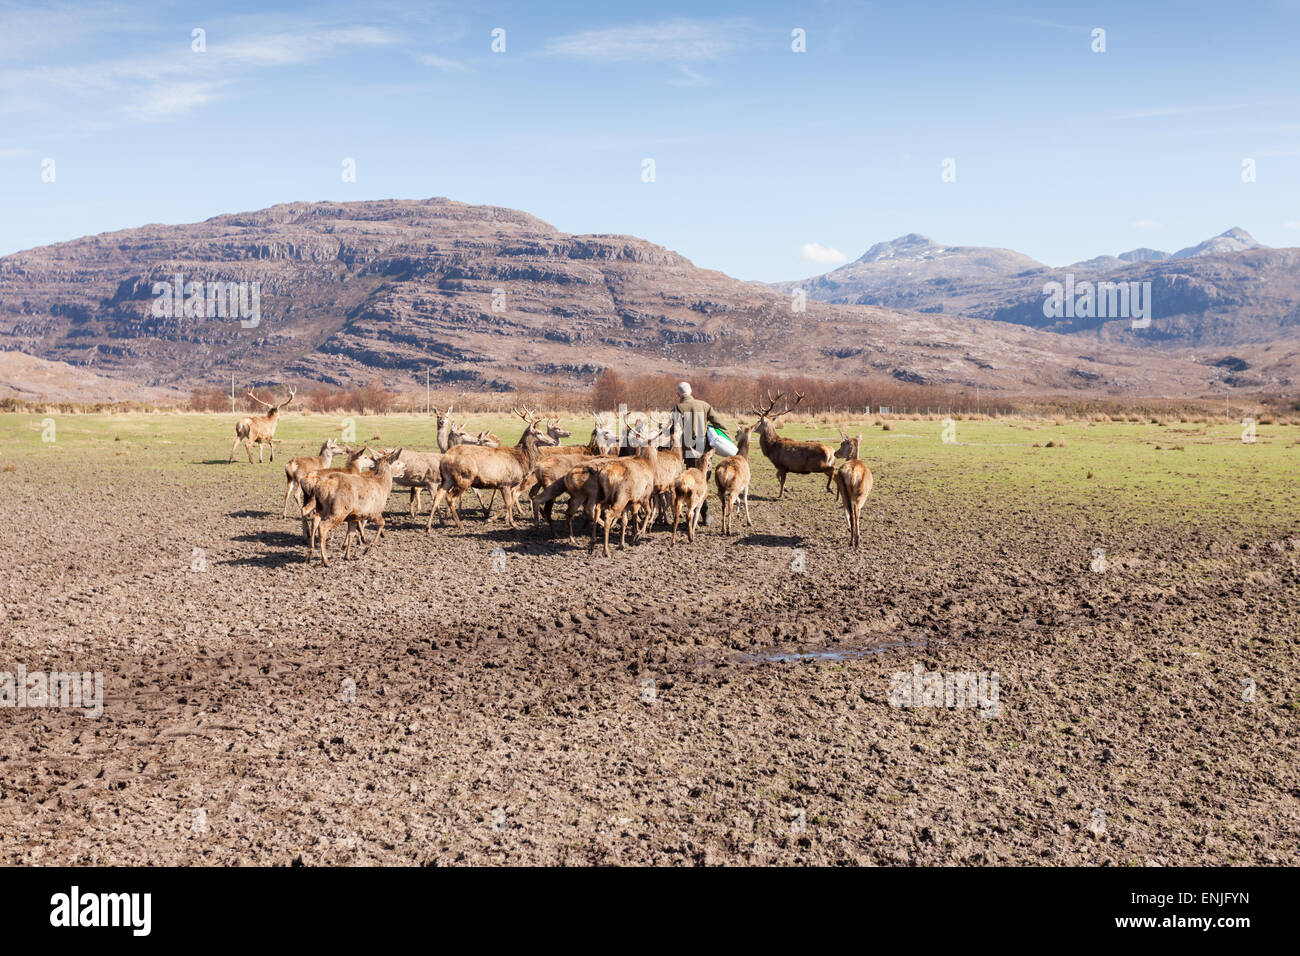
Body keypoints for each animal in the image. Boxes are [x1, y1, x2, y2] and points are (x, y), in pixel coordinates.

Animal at [429, 409, 558, 531]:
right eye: (539, 432)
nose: (554, 441)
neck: (521, 460)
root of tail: (445, 457)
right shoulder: (505, 483)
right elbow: (509, 503)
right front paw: (511, 523)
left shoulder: (506, 485)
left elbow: (509, 502)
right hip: (463, 478)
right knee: (450, 497)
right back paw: (459, 524)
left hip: (447, 479)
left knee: (438, 497)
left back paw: (429, 526)